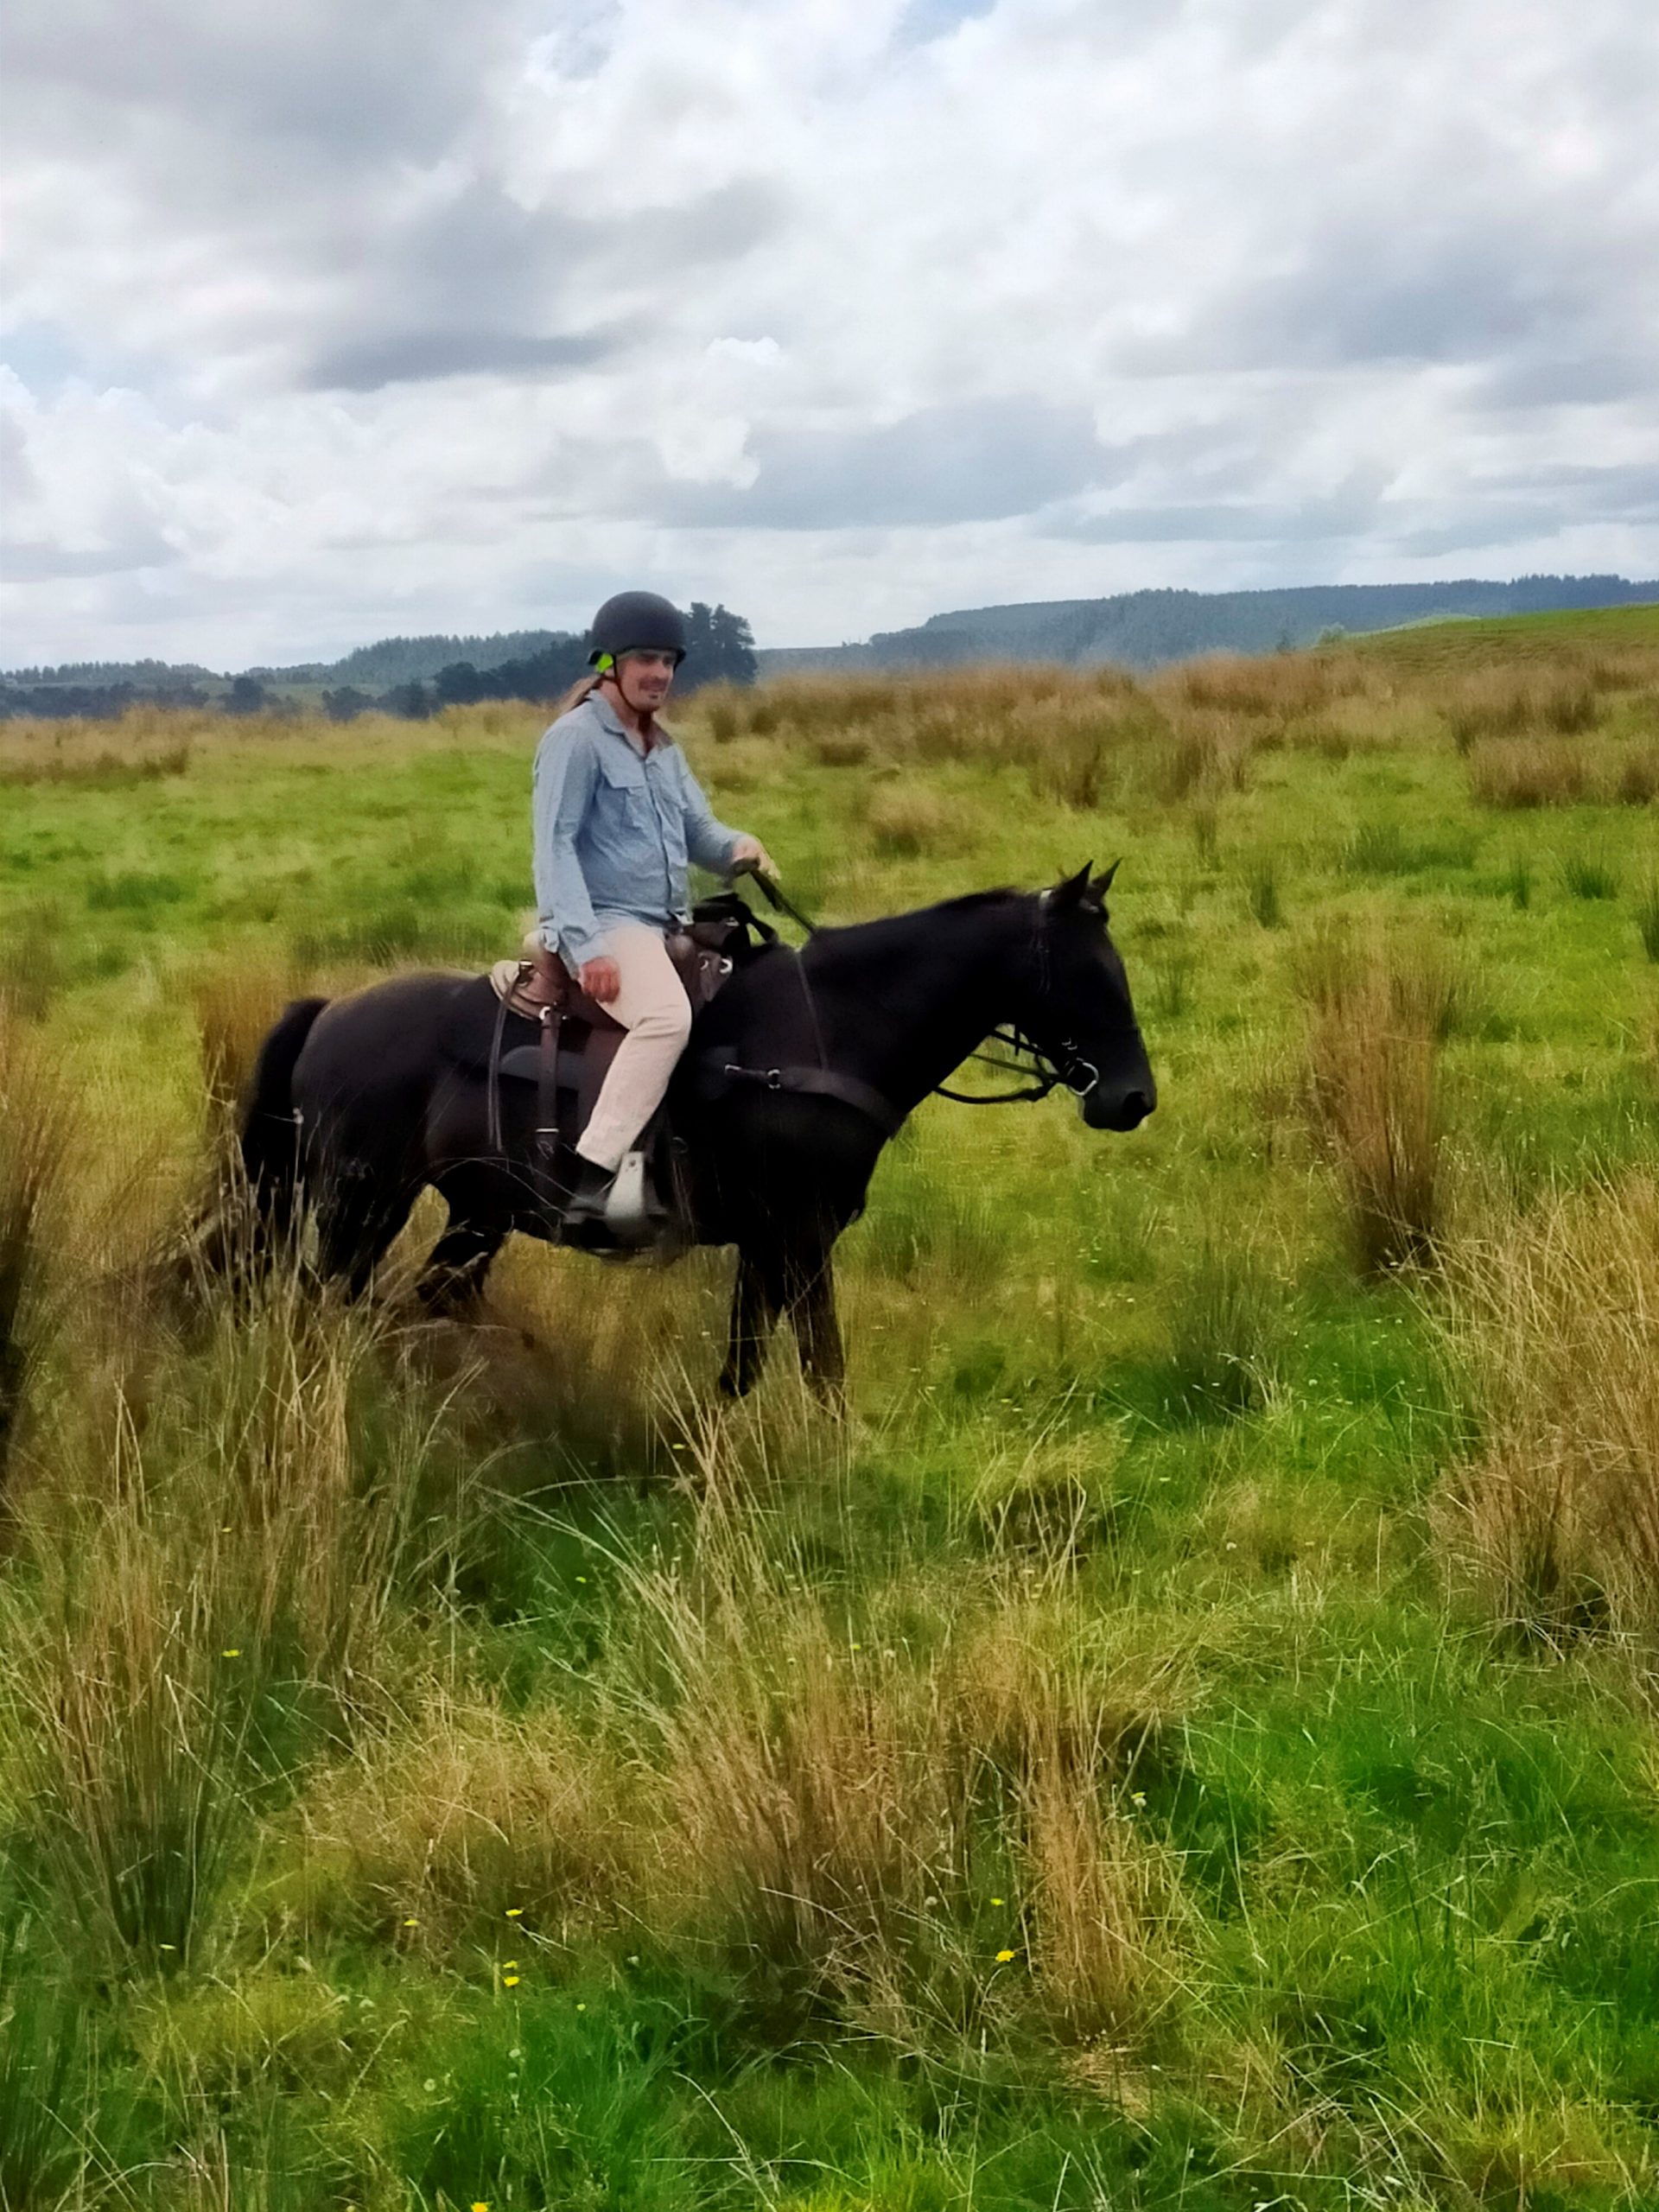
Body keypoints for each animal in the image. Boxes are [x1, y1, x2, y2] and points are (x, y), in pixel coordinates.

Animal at [235, 864, 1155, 1399]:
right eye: (1082, 975)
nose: (1133, 1098)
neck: (828, 1031)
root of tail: (330, 1015)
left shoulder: (768, 1244)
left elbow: (742, 1371)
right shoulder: (801, 1235)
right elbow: (823, 1369)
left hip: (472, 1215)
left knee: (421, 1299)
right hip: (361, 1206)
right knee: (332, 1303)